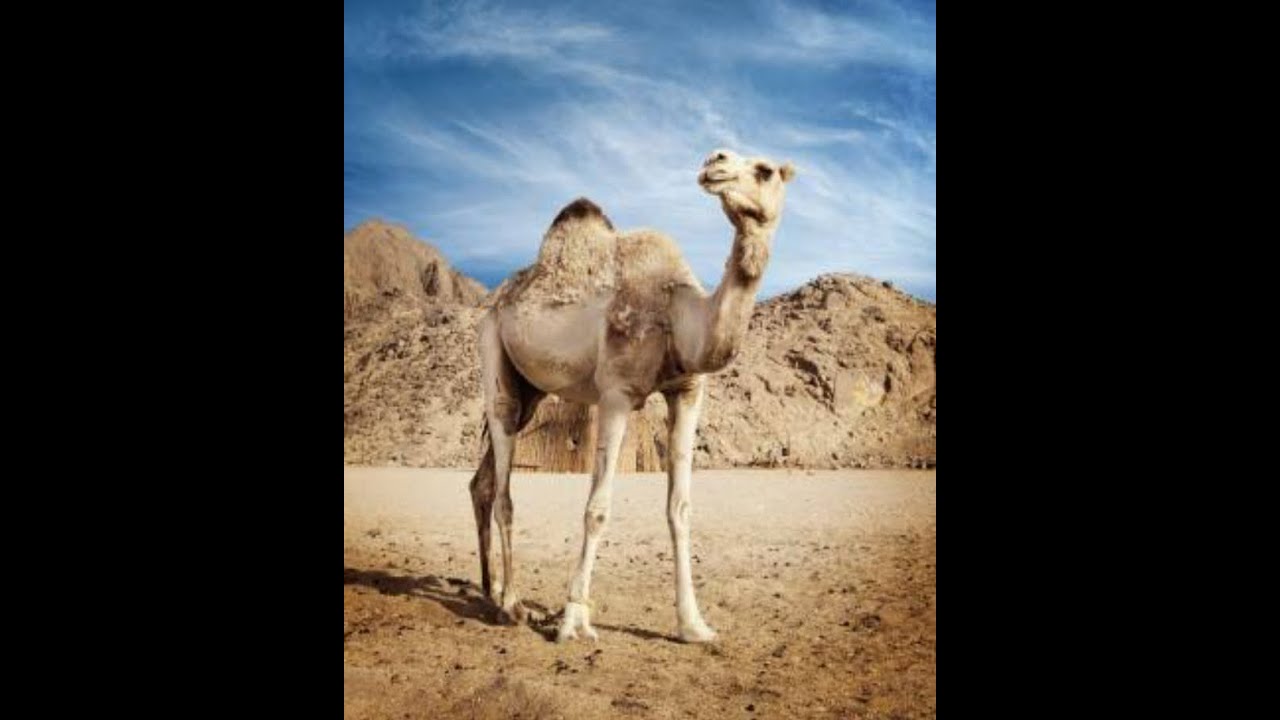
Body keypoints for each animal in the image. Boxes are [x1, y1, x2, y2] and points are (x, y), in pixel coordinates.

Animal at [469, 148, 795, 643]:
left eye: (765, 170)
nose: (714, 161)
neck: (679, 316)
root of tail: (499, 296)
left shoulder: (688, 391)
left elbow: (680, 508)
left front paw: (693, 624)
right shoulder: (617, 393)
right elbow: (597, 508)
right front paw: (574, 620)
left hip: (533, 391)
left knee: (483, 483)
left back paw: (491, 593)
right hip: (494, 348)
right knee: (504, 478)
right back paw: (512, 605)